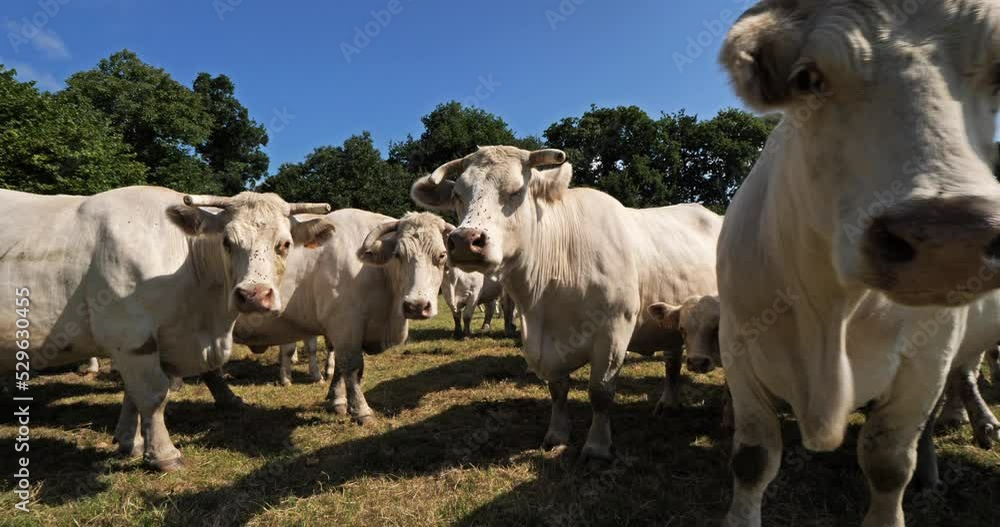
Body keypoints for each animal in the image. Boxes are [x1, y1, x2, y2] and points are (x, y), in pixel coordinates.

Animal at [0, 187, 335, 471]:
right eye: (227, 242)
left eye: (284, 244)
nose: (253, 295)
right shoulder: (130, 333)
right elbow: (152, 395)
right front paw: (163, 455)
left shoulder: (148, 342)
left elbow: (133, 394)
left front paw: (130, 441)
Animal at [198, 210, 453, 424]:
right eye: (398, 255)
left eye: (441, 255)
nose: (416, 306)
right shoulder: (344, 324)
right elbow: (351, 366)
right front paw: (361, 411)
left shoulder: (346, 329)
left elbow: (341, 366)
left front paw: (337, 401)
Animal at [411, 146, 721, 460]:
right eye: (457, 195)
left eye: (516, 191)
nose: (464, 240)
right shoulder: (546, 342)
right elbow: (558, 390)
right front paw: (557, 435)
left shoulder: (613, 331)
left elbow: (600, 392)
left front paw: (597, 446)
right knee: (672, 359)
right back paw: (669, 401)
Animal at [715, 1, 1000, 525]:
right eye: (808, 78)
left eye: (998, 74)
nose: (950, 236)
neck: (829, 311)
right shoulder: (738, 349)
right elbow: (753, 459)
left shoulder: (925, 362)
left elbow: (888, 463)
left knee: (960, 383)